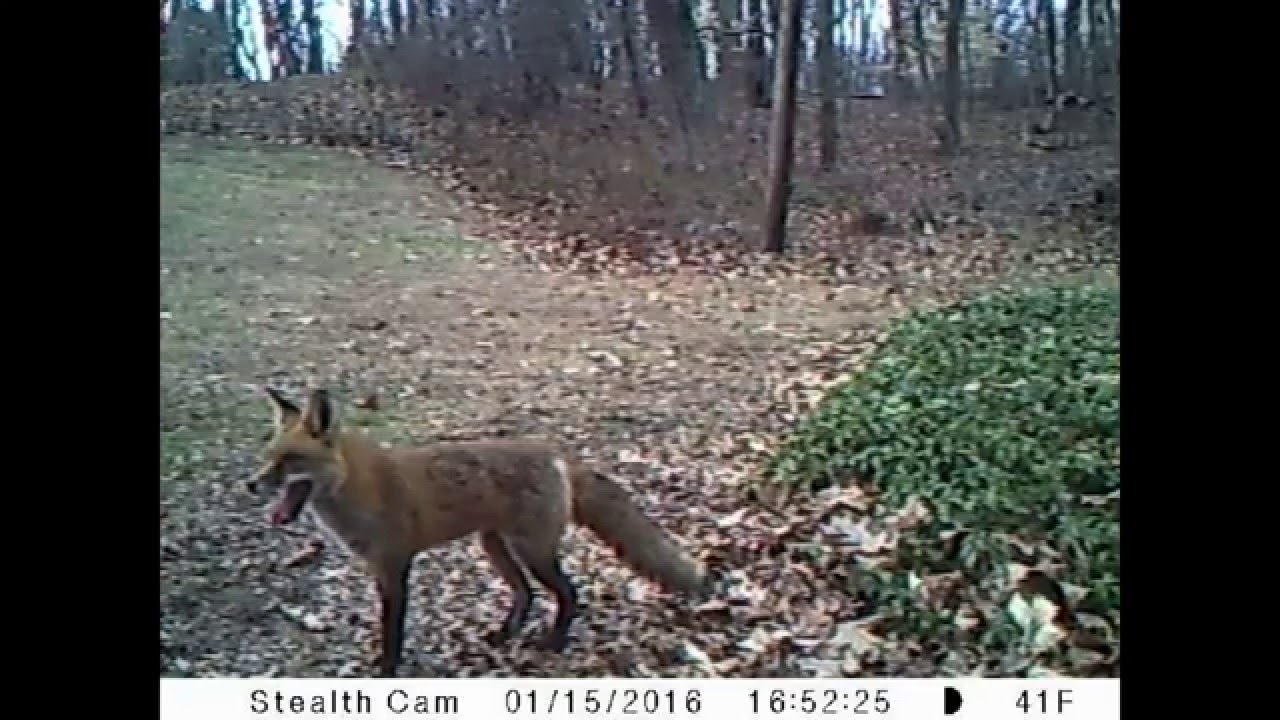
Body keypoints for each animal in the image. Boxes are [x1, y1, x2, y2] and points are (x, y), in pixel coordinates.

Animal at [244, 386, 709, 677]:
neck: (360, 489)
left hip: (532, 551)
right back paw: (504, 635)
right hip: (494, 546)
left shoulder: (395, 566)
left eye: (290, 461)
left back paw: (555, 642)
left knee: (568, 593)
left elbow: (392, 633)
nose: (250, 484)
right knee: (526, 594)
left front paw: (386, 673)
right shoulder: (379, 569)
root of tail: (554, 452)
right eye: (268, 457)